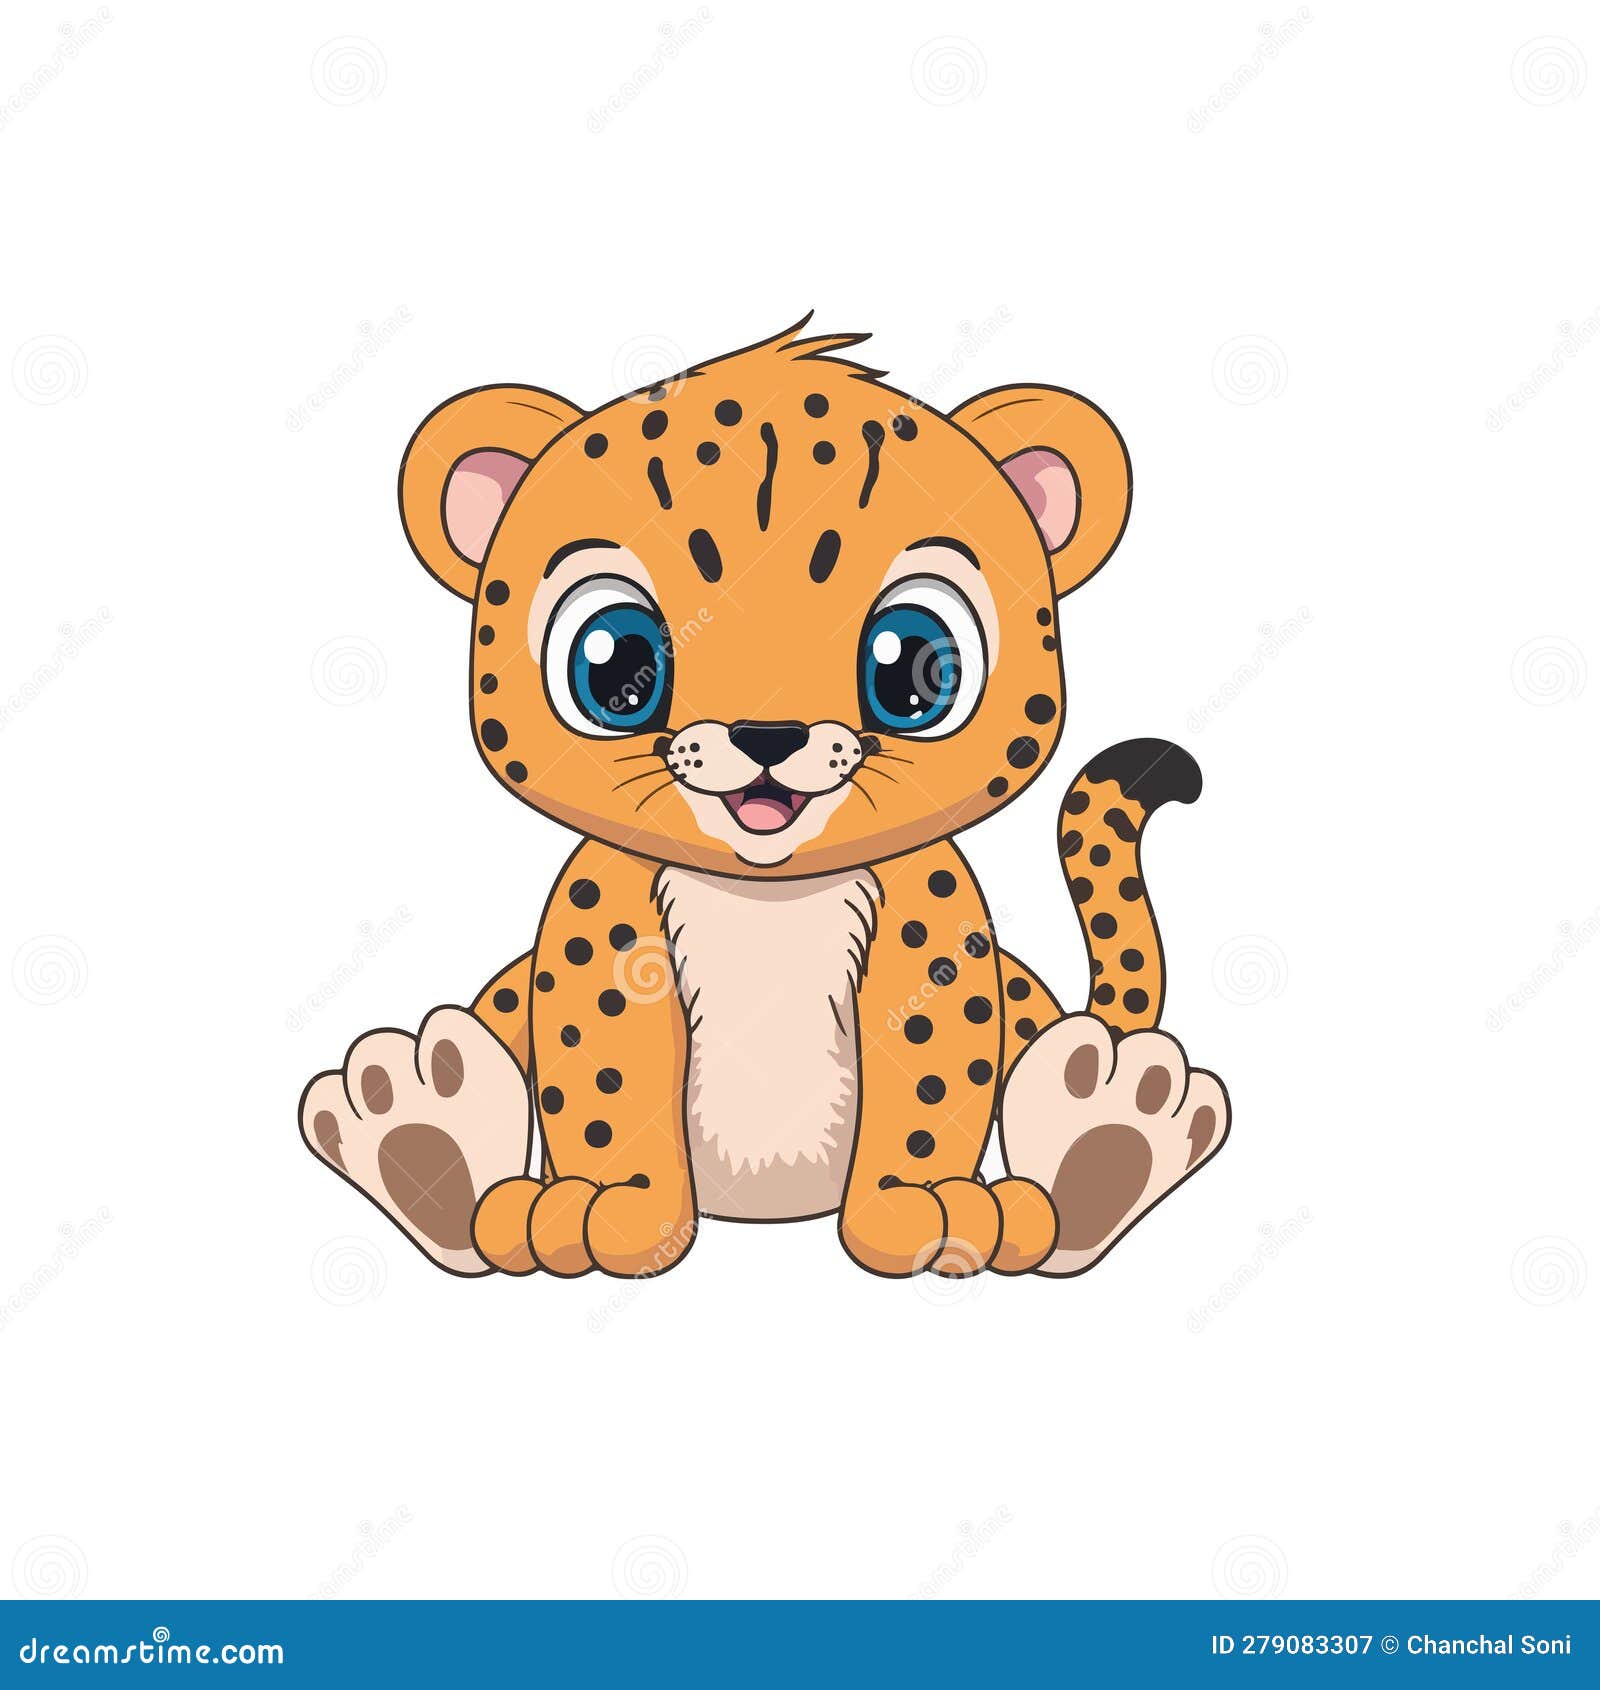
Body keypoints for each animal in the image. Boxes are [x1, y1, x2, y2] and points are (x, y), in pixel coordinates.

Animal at [298, 318, 1231, 1282]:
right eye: (614, 659)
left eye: (915, 665)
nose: (768, 735)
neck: (767, 894)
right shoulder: (603, 933)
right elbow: (603, 1083)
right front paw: (606, 1212)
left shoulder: (933, 934)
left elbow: (932, 1081)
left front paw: (926, 1210)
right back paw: (420, 1125)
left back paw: (1108, 1129)